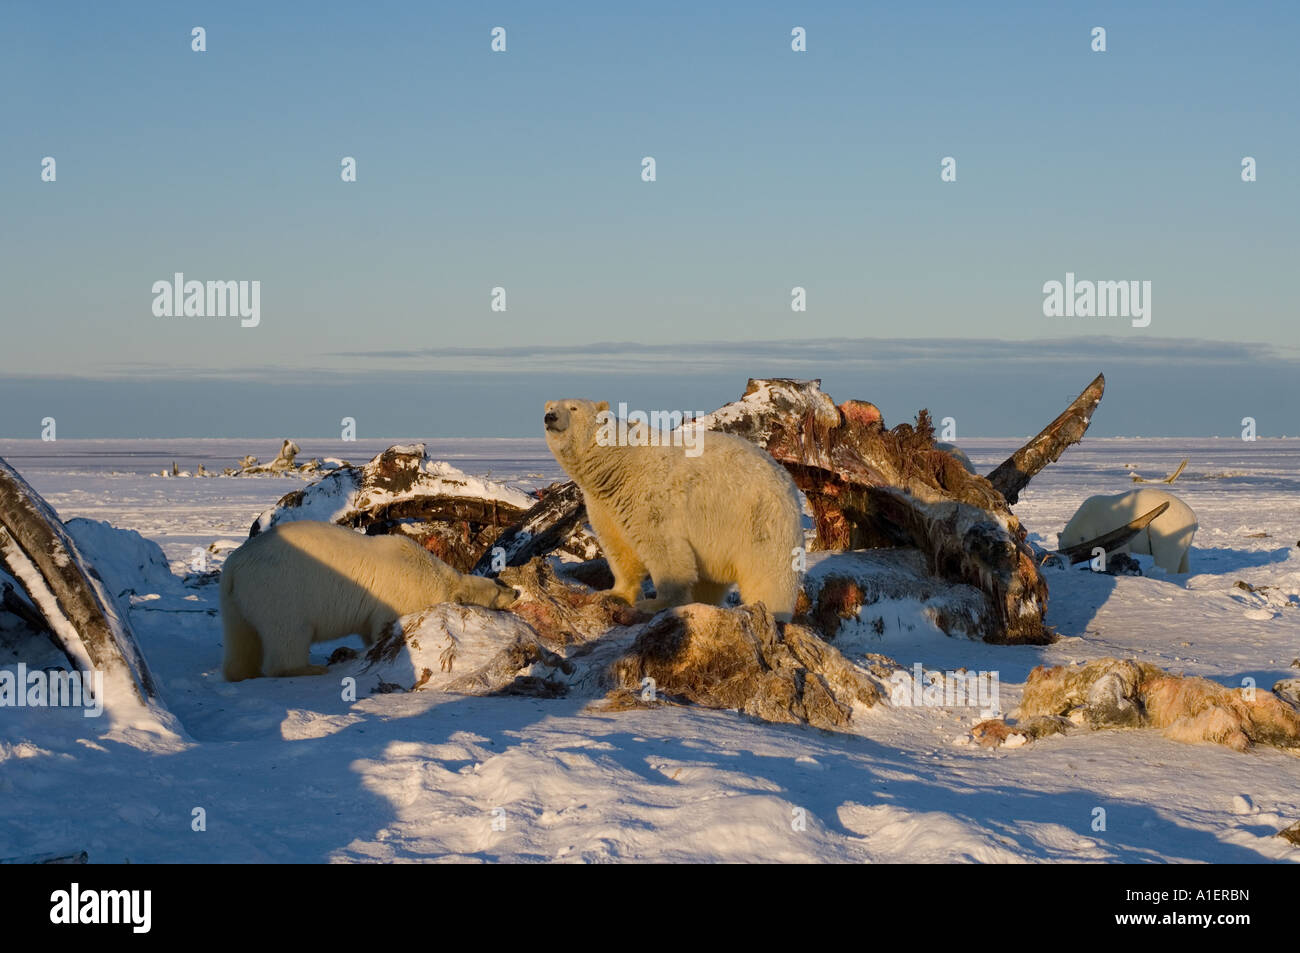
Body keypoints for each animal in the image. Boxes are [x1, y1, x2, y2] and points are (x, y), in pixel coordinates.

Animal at [220, 519, 517, 680]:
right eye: (497, 590)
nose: (515, 592)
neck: (432, 575)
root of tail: (235, 564)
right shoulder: (398, 596)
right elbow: (383, 626)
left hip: (239, 598)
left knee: (241, 638)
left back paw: (242, 673)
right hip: (280, 590)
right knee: (289, 634)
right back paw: (307, 668)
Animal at [543, 398, 804, 620]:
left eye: (573, 408)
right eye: (552, 405)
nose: (550, 416)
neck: (619, 463)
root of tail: (785, 478)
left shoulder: (650, 496)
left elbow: (663, 548)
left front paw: (656, 603)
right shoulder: (603, 504)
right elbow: (619, 547)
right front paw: (615, 593)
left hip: (758, 518)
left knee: (768, 572)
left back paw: (773, 612)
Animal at [1059, 488, 1198, 575]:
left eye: (1071, 552)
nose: (1063, 565)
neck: (1088, 518)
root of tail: (1193, 517)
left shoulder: (1109, 527)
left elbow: (1117, 551)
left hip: (1168, 529)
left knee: (1166, 557)